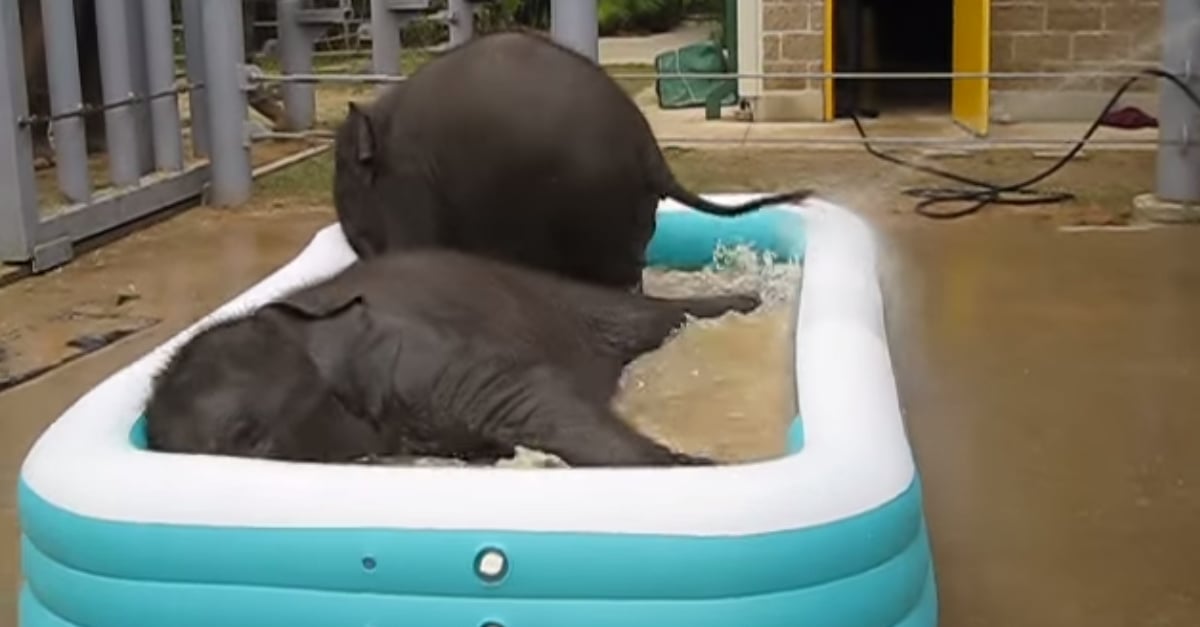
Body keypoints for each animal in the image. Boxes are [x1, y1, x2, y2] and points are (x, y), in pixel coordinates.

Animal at [143, 248, 761, 467]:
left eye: (248, 435)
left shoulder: (417, 359)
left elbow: (530, 402)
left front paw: (695, 469)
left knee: (640, 319)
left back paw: (748, 303)